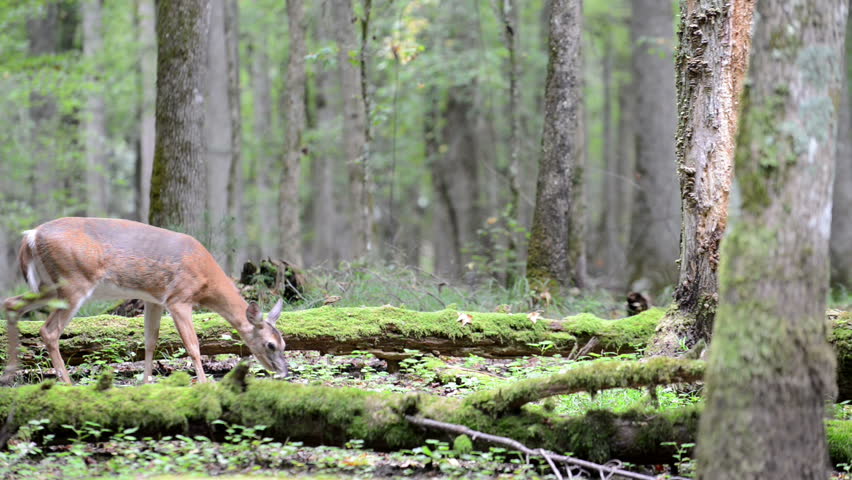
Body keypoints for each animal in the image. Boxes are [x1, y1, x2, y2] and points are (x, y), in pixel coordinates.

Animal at [1, 217, 288, 384]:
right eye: (271, 344)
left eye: (285, 343)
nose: (284, 372)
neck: (207, 282)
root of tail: (31, 235)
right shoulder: (179, 298)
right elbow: (193, 345)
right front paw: (205, 383)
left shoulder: (154, 298)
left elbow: (150, 341)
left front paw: (146, 381)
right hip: (73, 282)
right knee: (49, 331)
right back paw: (67, 384)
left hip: (50, 286)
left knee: (11, 303)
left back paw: (10, 373)